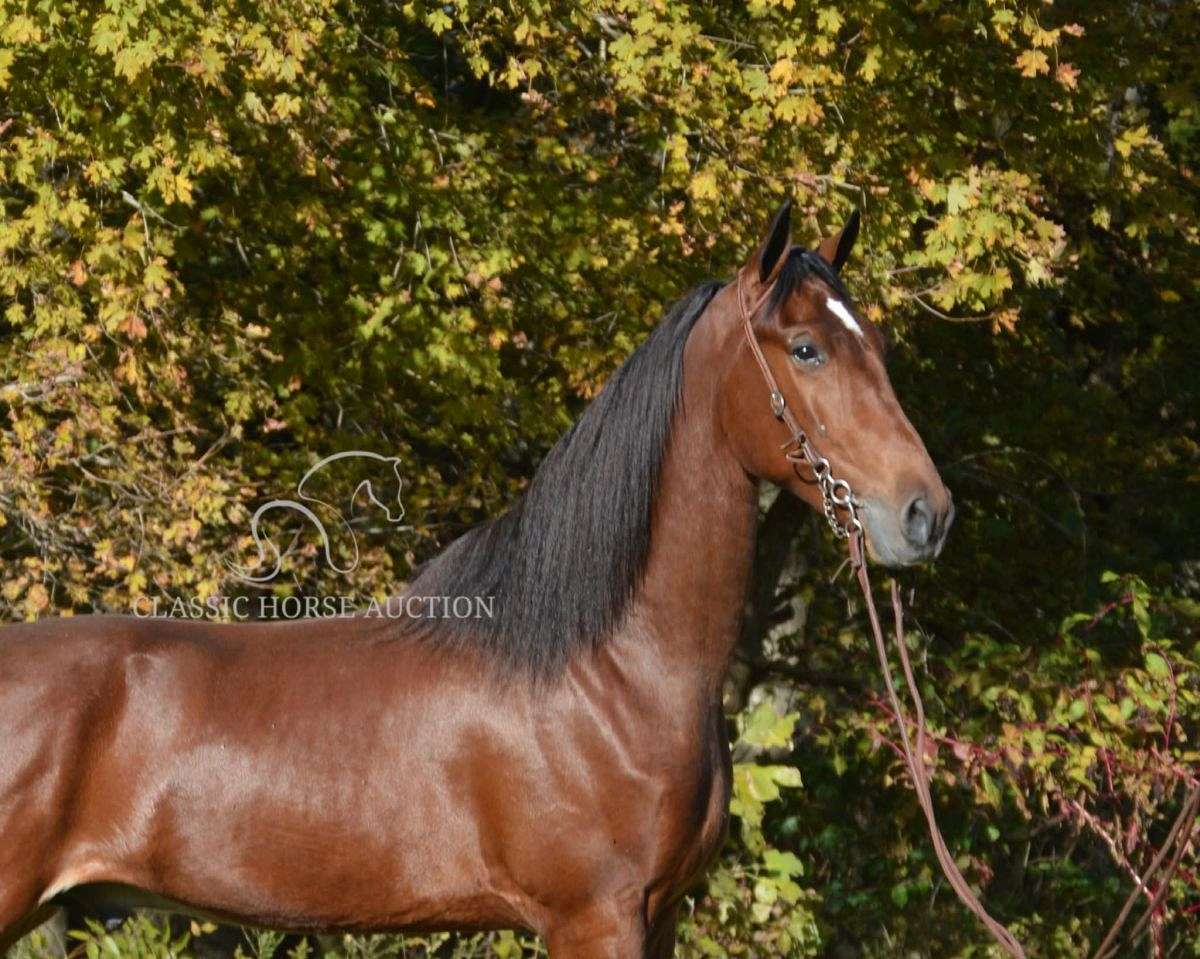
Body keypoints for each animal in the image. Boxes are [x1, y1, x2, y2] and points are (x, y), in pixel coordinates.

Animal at [0, 200, 952, 958]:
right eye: (807, 348)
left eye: (880, 345)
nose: (925, 513)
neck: (607, 672)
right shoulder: (595, 917)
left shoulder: (660, 915)